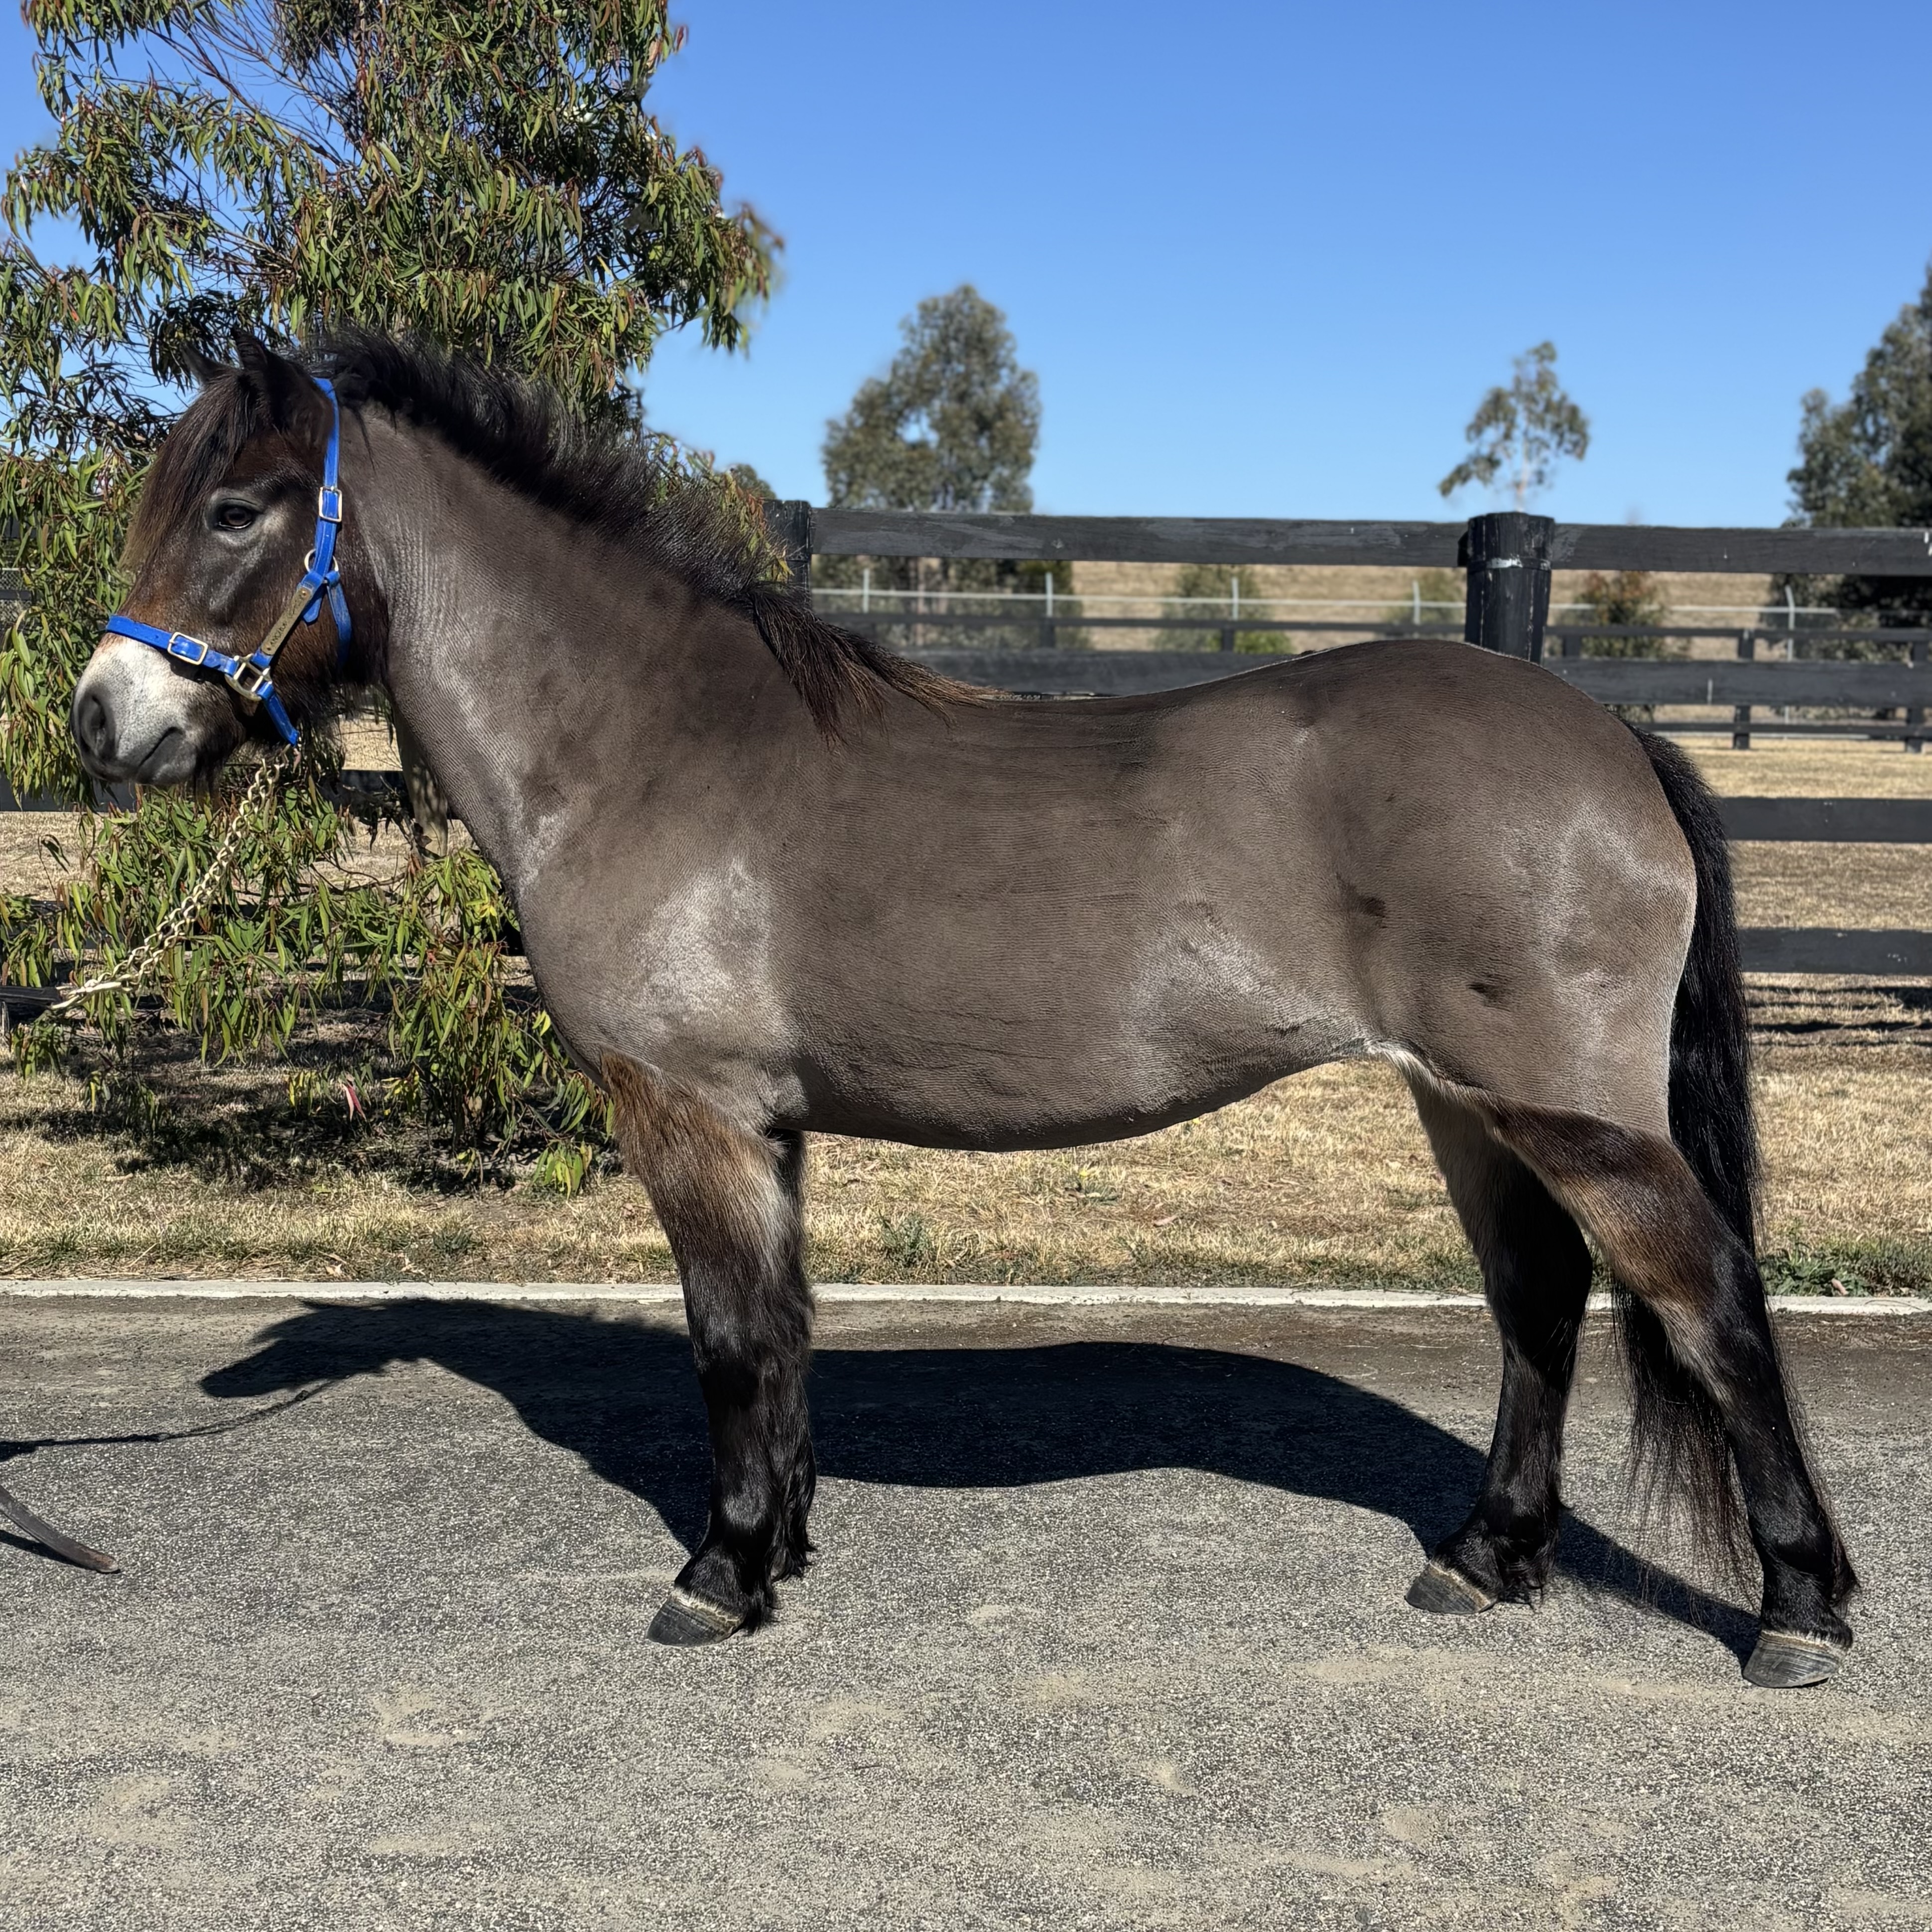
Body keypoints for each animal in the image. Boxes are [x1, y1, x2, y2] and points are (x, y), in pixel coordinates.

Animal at [64, 332, 1855, 1688]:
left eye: (234, 506)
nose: (99, 723)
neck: (644, 747)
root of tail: (1607, 734)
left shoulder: (690, 1109)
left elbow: (726, 1338)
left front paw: (715, 1573)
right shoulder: (764, 1123)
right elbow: (779, 1331)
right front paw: (776, 1545)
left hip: (1564, 1107)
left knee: (1703, 1300)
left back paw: (1794, 1608)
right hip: (1462, 1100)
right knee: (1537, 1302)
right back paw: (1484, 1556)